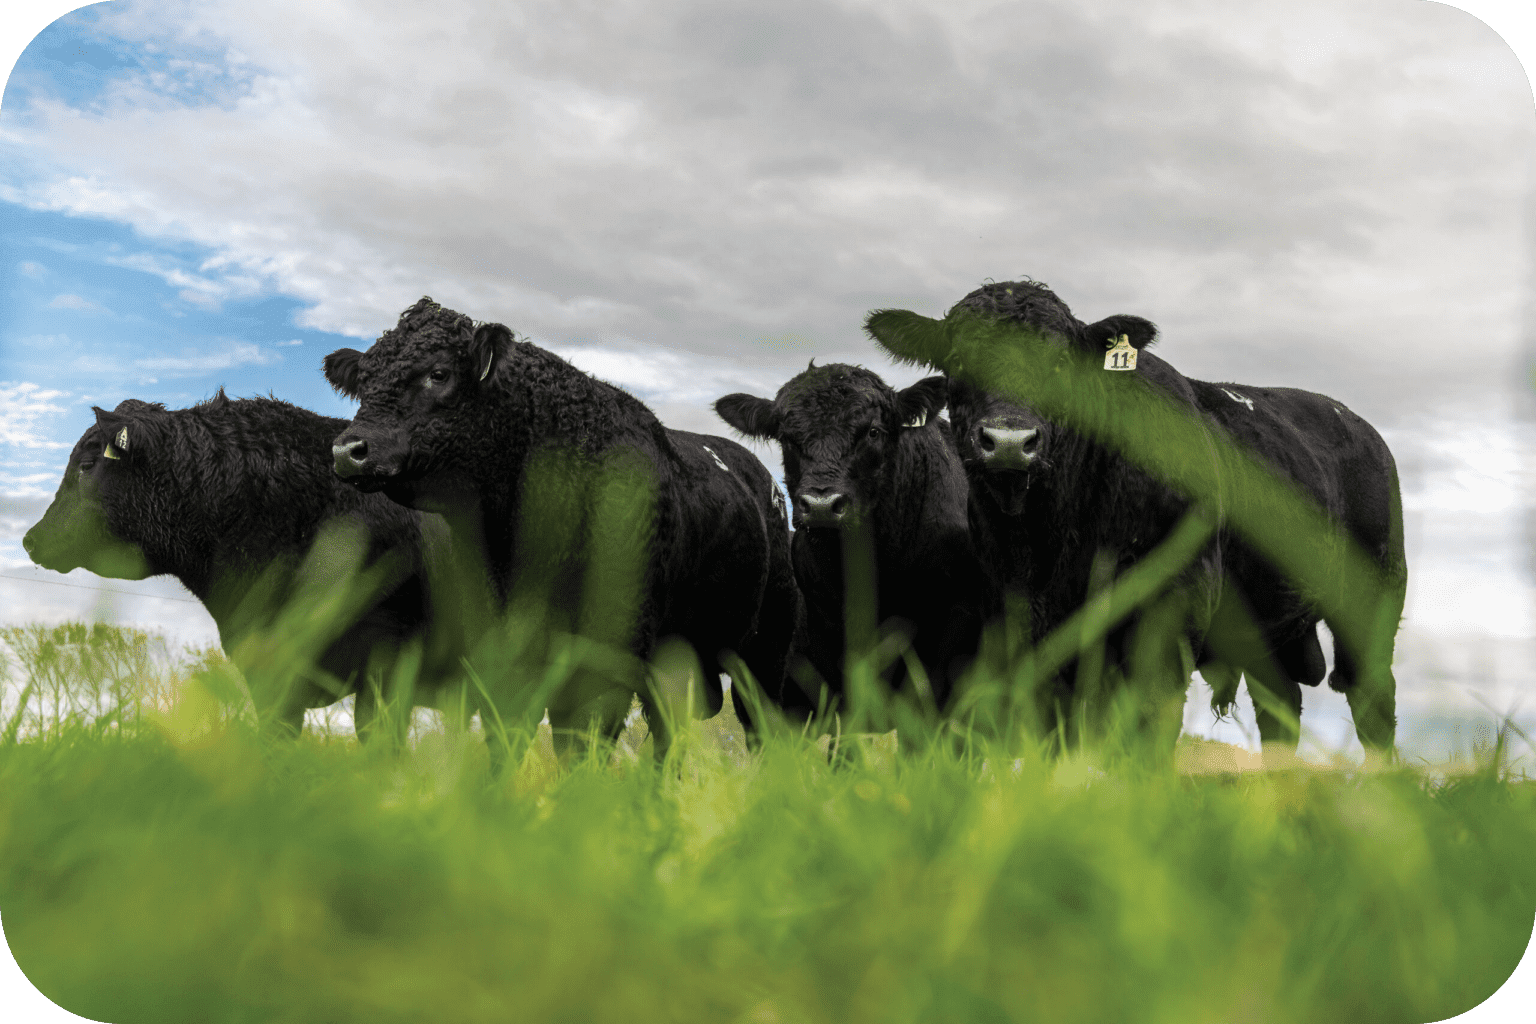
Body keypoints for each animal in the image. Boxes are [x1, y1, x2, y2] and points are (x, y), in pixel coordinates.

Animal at [323, 297, 801, 764]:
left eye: (438, 374)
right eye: (364, 380)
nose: (349, 450)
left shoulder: (609, 652)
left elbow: (583, 744)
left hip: (766, 650)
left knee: (757, 730)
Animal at [865, 279, 1404, 758]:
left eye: (1061, 363)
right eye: (958, 362)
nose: (1009, 441)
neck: (1049, 542)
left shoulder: (1170, 617)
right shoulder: (1020, 623)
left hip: (1372, 604)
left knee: (1371, 703)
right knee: (1281, 708)